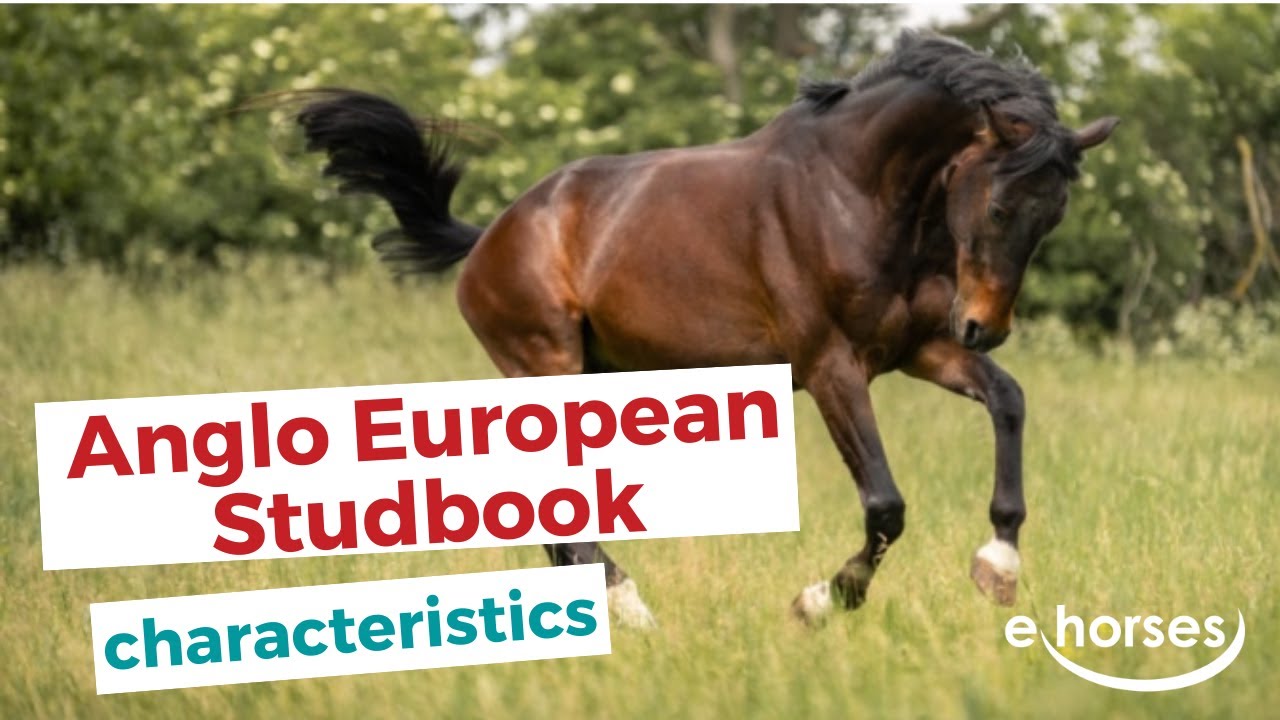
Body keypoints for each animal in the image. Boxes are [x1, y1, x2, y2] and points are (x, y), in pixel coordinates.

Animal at [285, 30, 1117, 627]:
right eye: (1001, 207)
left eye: (1053, 216)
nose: (985, 326)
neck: (858, 192)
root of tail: (491, 234)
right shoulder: (830, 367)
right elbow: (885, 504)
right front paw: (820, 602)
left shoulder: (921, 349)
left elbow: (1007, 403)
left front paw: (997, 566)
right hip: (544, 369)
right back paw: (630, 611)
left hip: (598, 381)